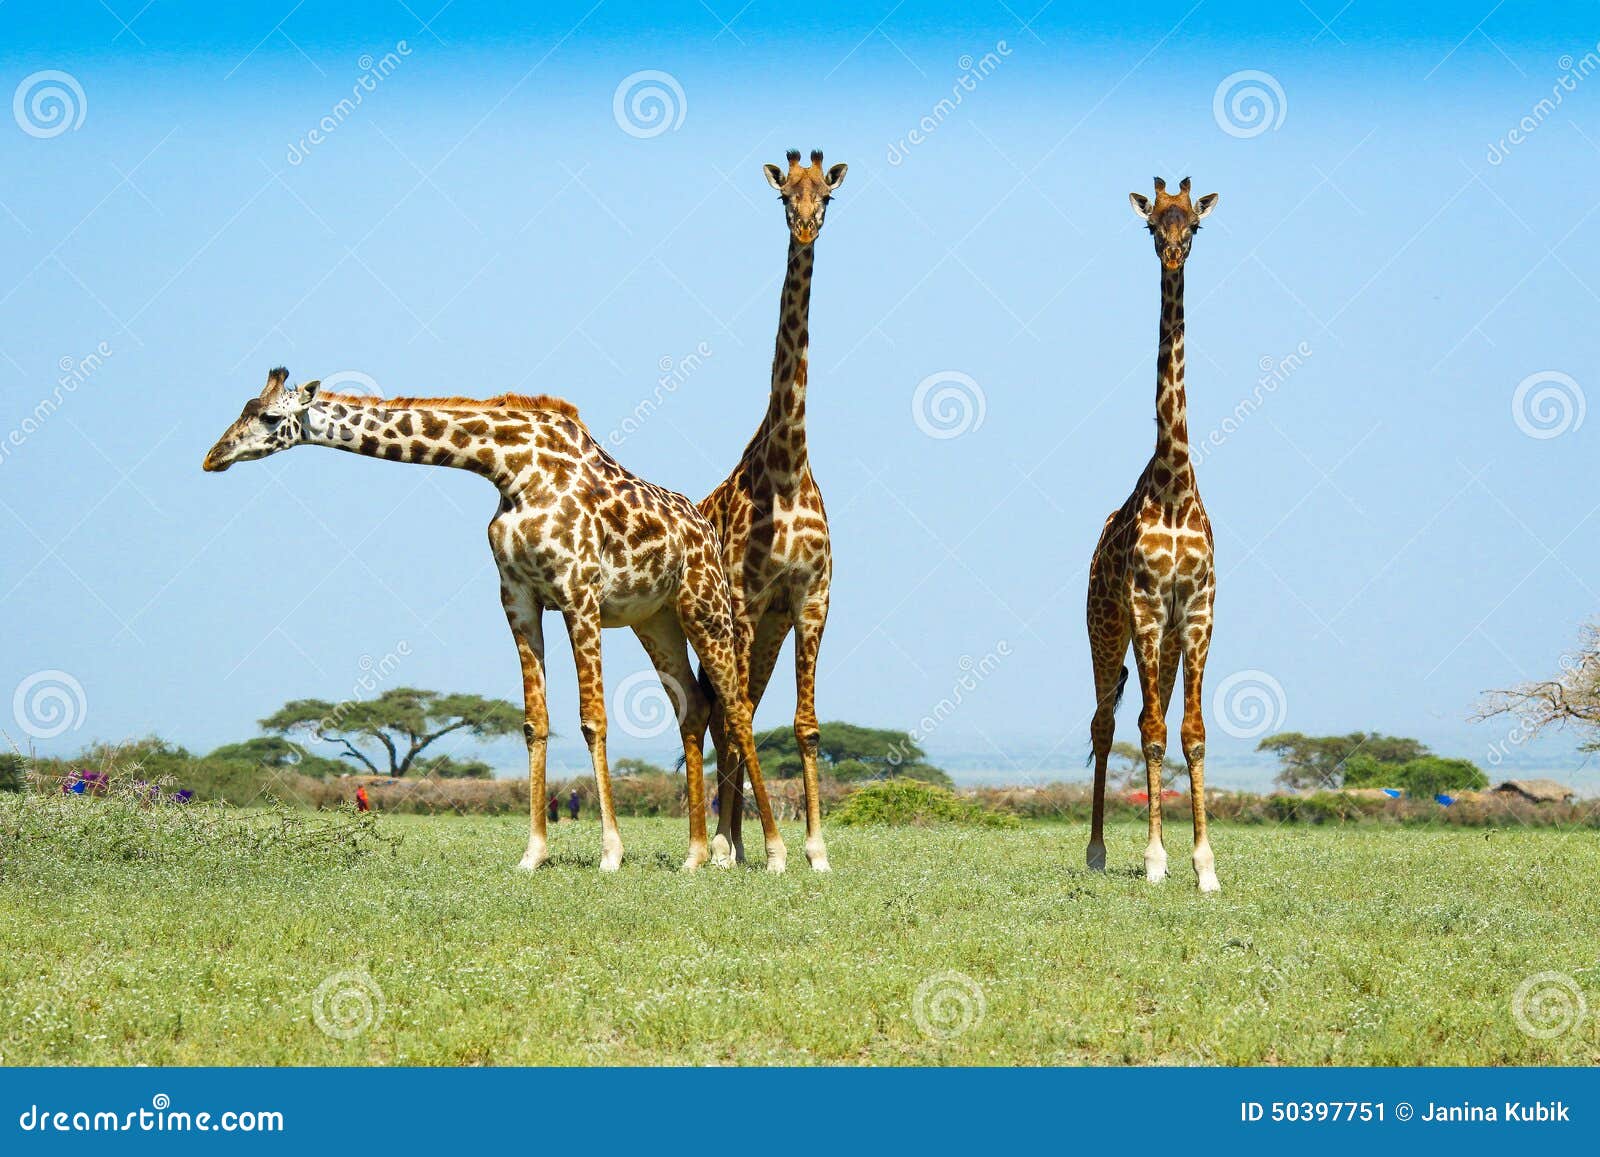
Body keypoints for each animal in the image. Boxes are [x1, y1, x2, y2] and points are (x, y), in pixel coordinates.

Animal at [202, 367, 787, 873]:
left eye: (269, 418)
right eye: (243, 408)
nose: (213, 457)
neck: (512, 469)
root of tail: (706, 527)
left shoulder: (579, 594)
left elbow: (593, 718)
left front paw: (611, 854)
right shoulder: (518, 599)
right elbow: (534, 722)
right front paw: (533, 855)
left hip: (704, 605)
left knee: (737, 709)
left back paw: (770, 854)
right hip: (657, 619)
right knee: (695, 706)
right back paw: (694, 856)